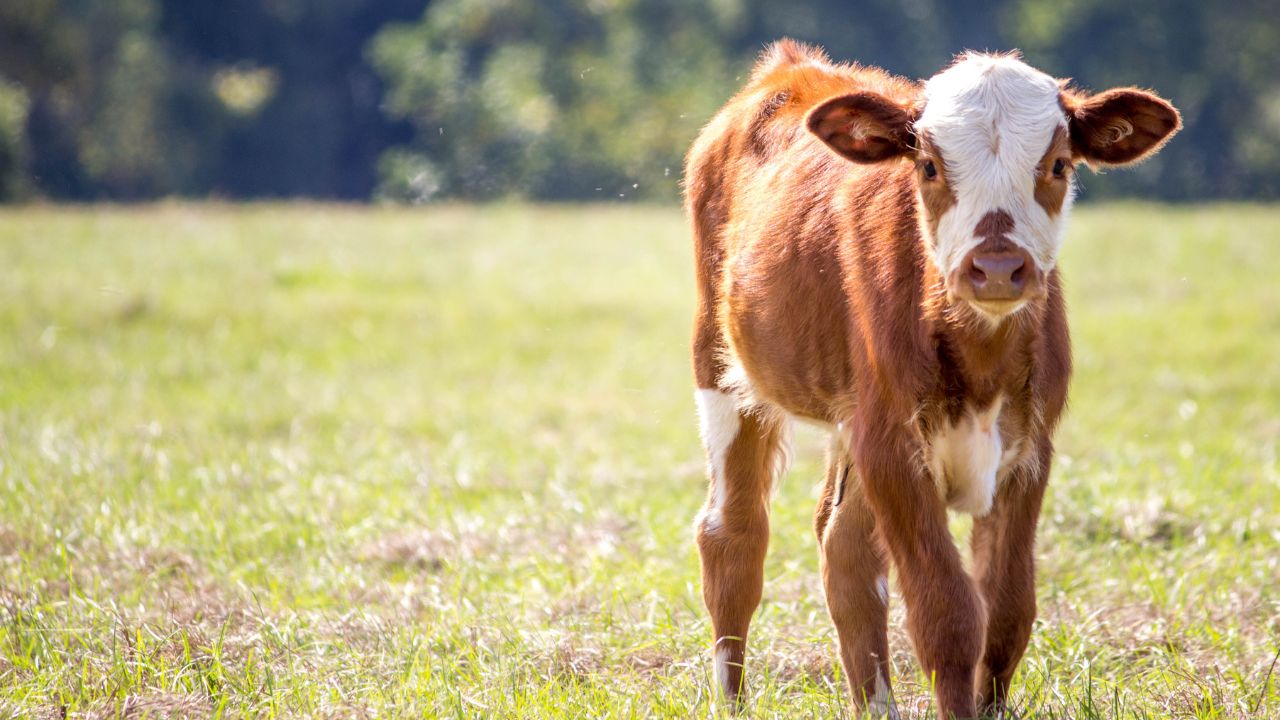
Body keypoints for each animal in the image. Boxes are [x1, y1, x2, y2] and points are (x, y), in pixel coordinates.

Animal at [684, 40, 1179, 718]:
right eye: (928, 166)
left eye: (1056, 165)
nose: (996, 268)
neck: (981, 357)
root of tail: (792, 68)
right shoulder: (893, 446)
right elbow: (946, 613)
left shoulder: (1029, 448)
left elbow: (1006, 611)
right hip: (723, 365)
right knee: (733, 538)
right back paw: (731, 699)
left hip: (849, 422)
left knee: (844, 550)